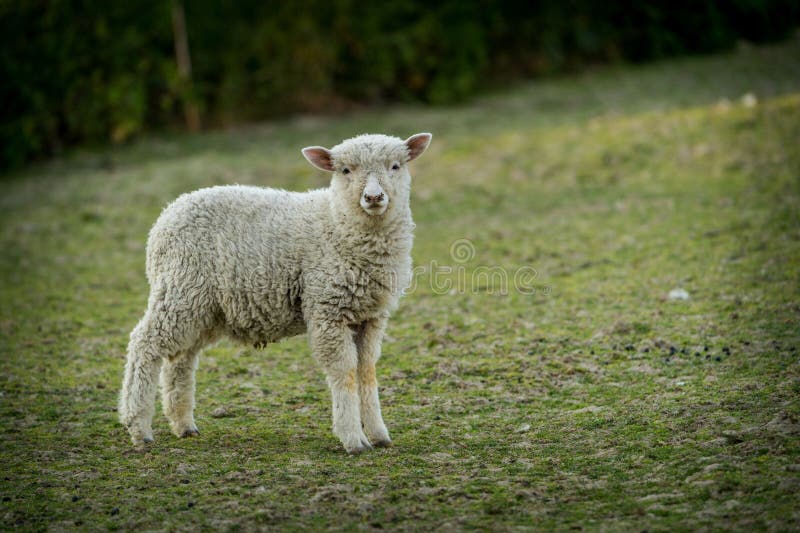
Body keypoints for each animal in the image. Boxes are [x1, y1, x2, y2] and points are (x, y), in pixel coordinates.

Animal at [118, 132, 432, 454]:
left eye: (395, 166)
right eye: (345, 170)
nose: (373, 198)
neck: (336, 222)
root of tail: (167, 214)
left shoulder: (371, 315)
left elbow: (366, 370)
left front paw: (379, 434)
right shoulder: (327, 310)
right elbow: (344, 372)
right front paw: (353, 439)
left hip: (202, 307)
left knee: (180, 360)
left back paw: (183, 424)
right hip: (180, 289)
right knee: (144, 344)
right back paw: (138, 427)